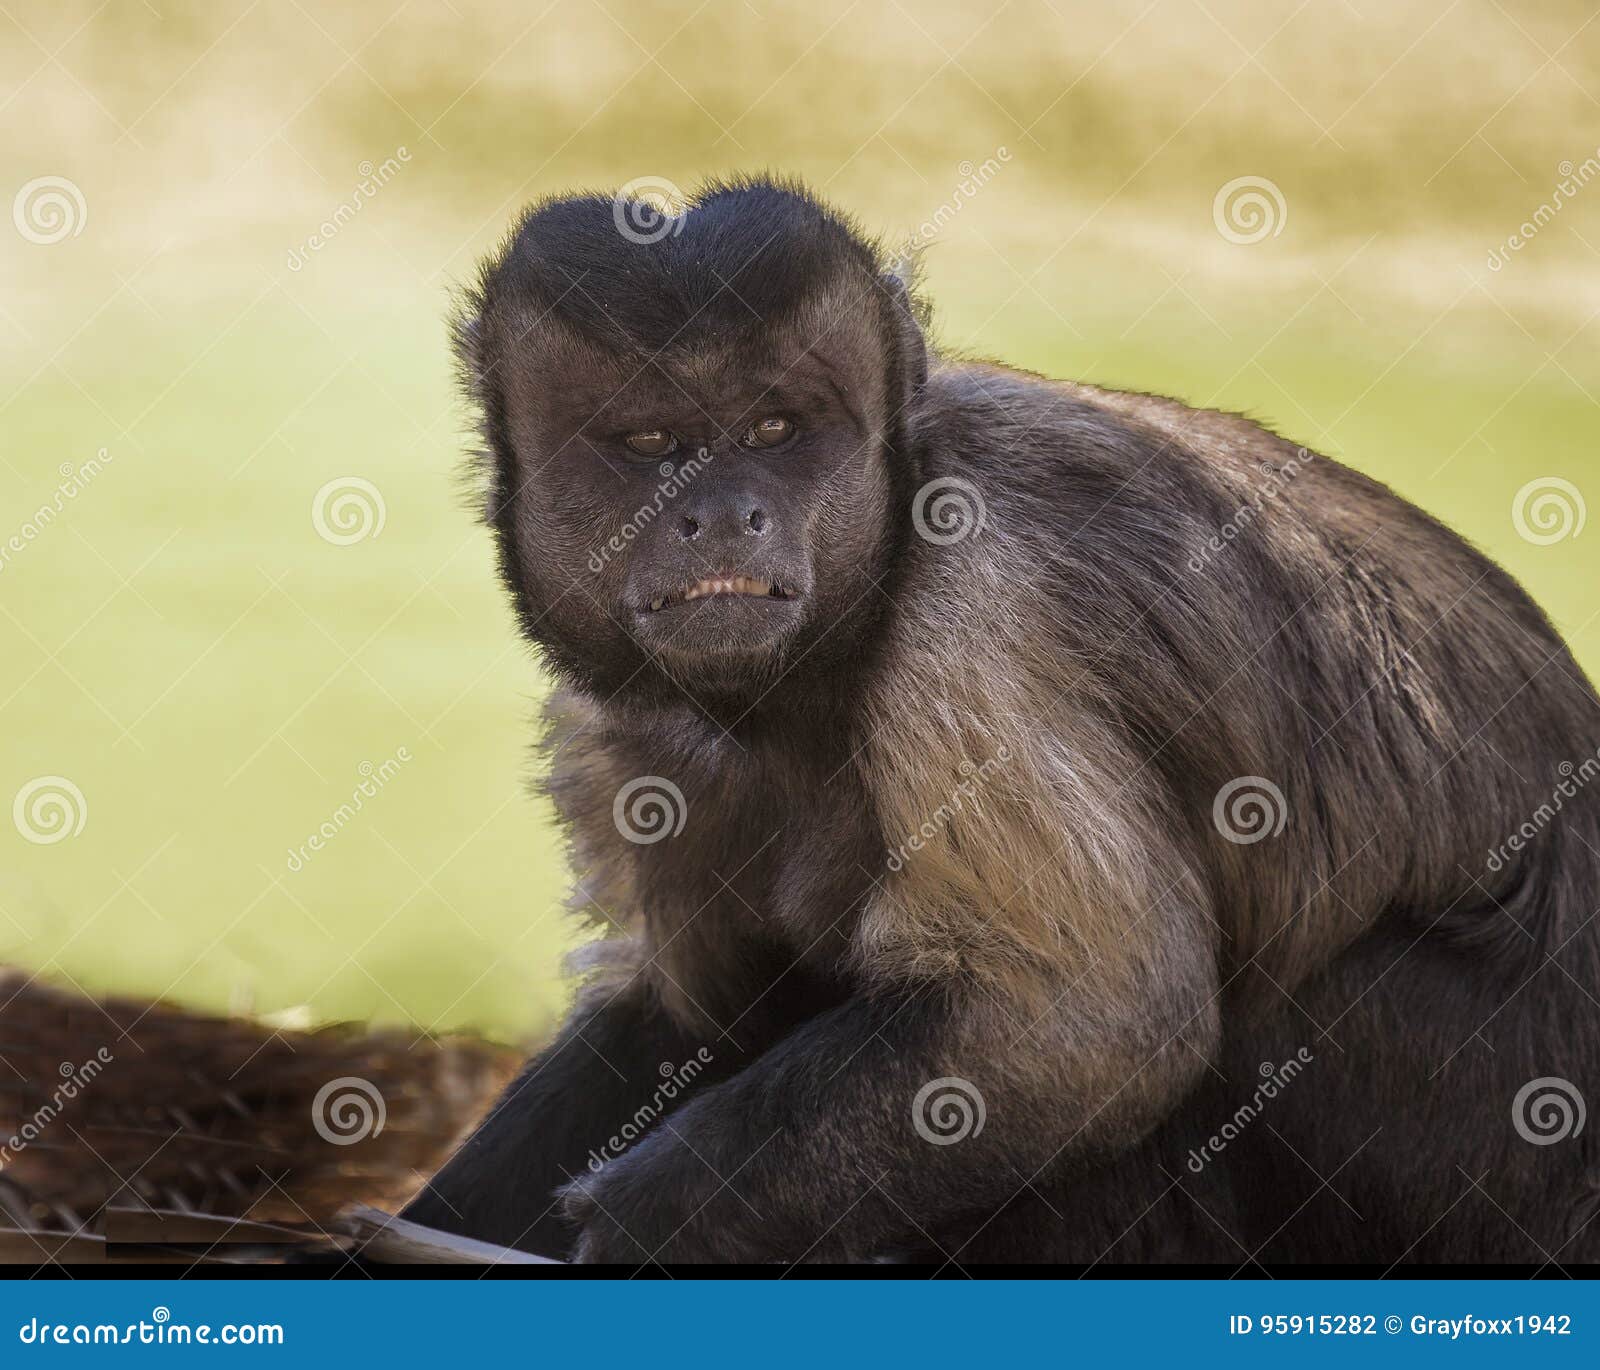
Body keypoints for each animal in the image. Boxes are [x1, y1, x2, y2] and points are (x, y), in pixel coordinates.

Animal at [400, 175, 1600, 1265]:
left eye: (775, 428)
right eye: (651, 443)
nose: (726, 513)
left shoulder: (977, 596)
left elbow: (1089, 1026)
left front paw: (629, 1230)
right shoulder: (620, 715)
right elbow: (686, 1010)